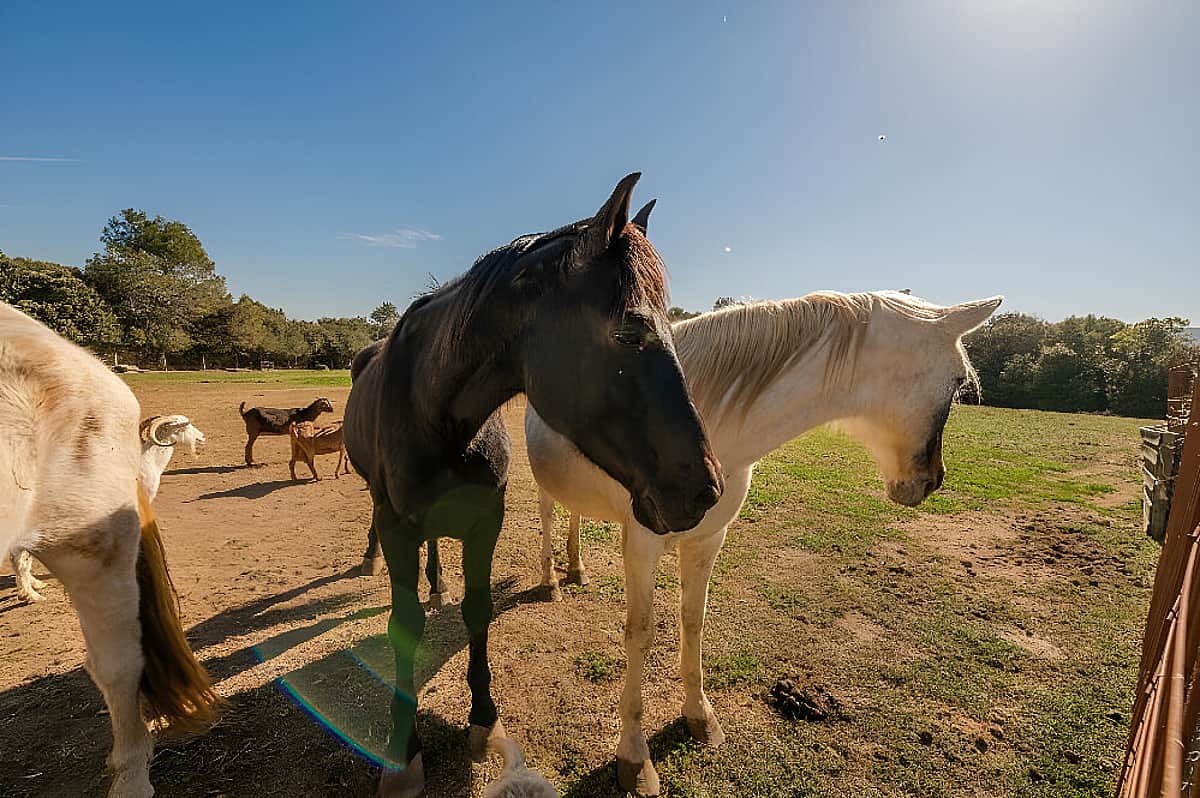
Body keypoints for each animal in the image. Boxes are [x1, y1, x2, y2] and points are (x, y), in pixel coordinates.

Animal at [343, 173, 724, 797]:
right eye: (629, 330)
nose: (704, 491)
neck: (434, 412)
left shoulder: (485, 522)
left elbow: (477, 610)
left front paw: (483, 720)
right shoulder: (398, 524)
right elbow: (405, 624)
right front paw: (403, 753)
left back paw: (437, 581)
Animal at [525, 289, 1003, 795]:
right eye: (958, 381)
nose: (932, 480)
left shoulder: (708, 540)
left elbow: (693, 621)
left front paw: (700, 717)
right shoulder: (641, 546)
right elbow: (640, 635)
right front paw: (635, 757)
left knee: (575, 516)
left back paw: (577, 569)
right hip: (543, 486)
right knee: (548, 517)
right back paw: (552, 580)